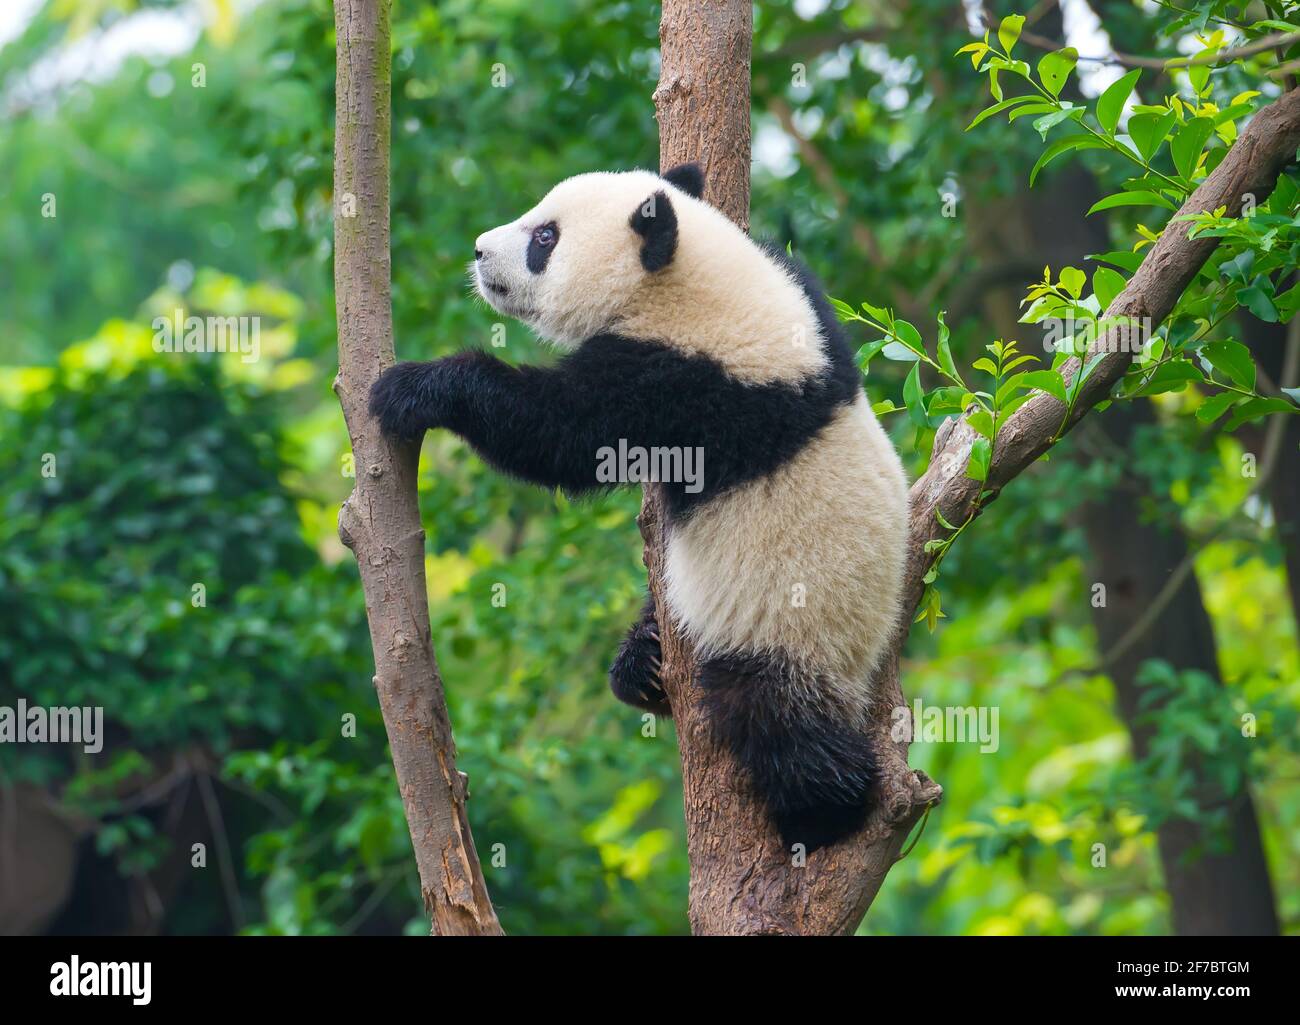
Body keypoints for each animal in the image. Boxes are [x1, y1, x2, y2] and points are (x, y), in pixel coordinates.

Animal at [369, 163, 909, 850]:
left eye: (545, 237)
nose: (480, 251)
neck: (697, 282)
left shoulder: (684, 381)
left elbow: (561, 433)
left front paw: (414, 388)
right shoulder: (809, 306)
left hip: (797, 632)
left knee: (778, 723)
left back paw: (826, 813)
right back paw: (644, 663)